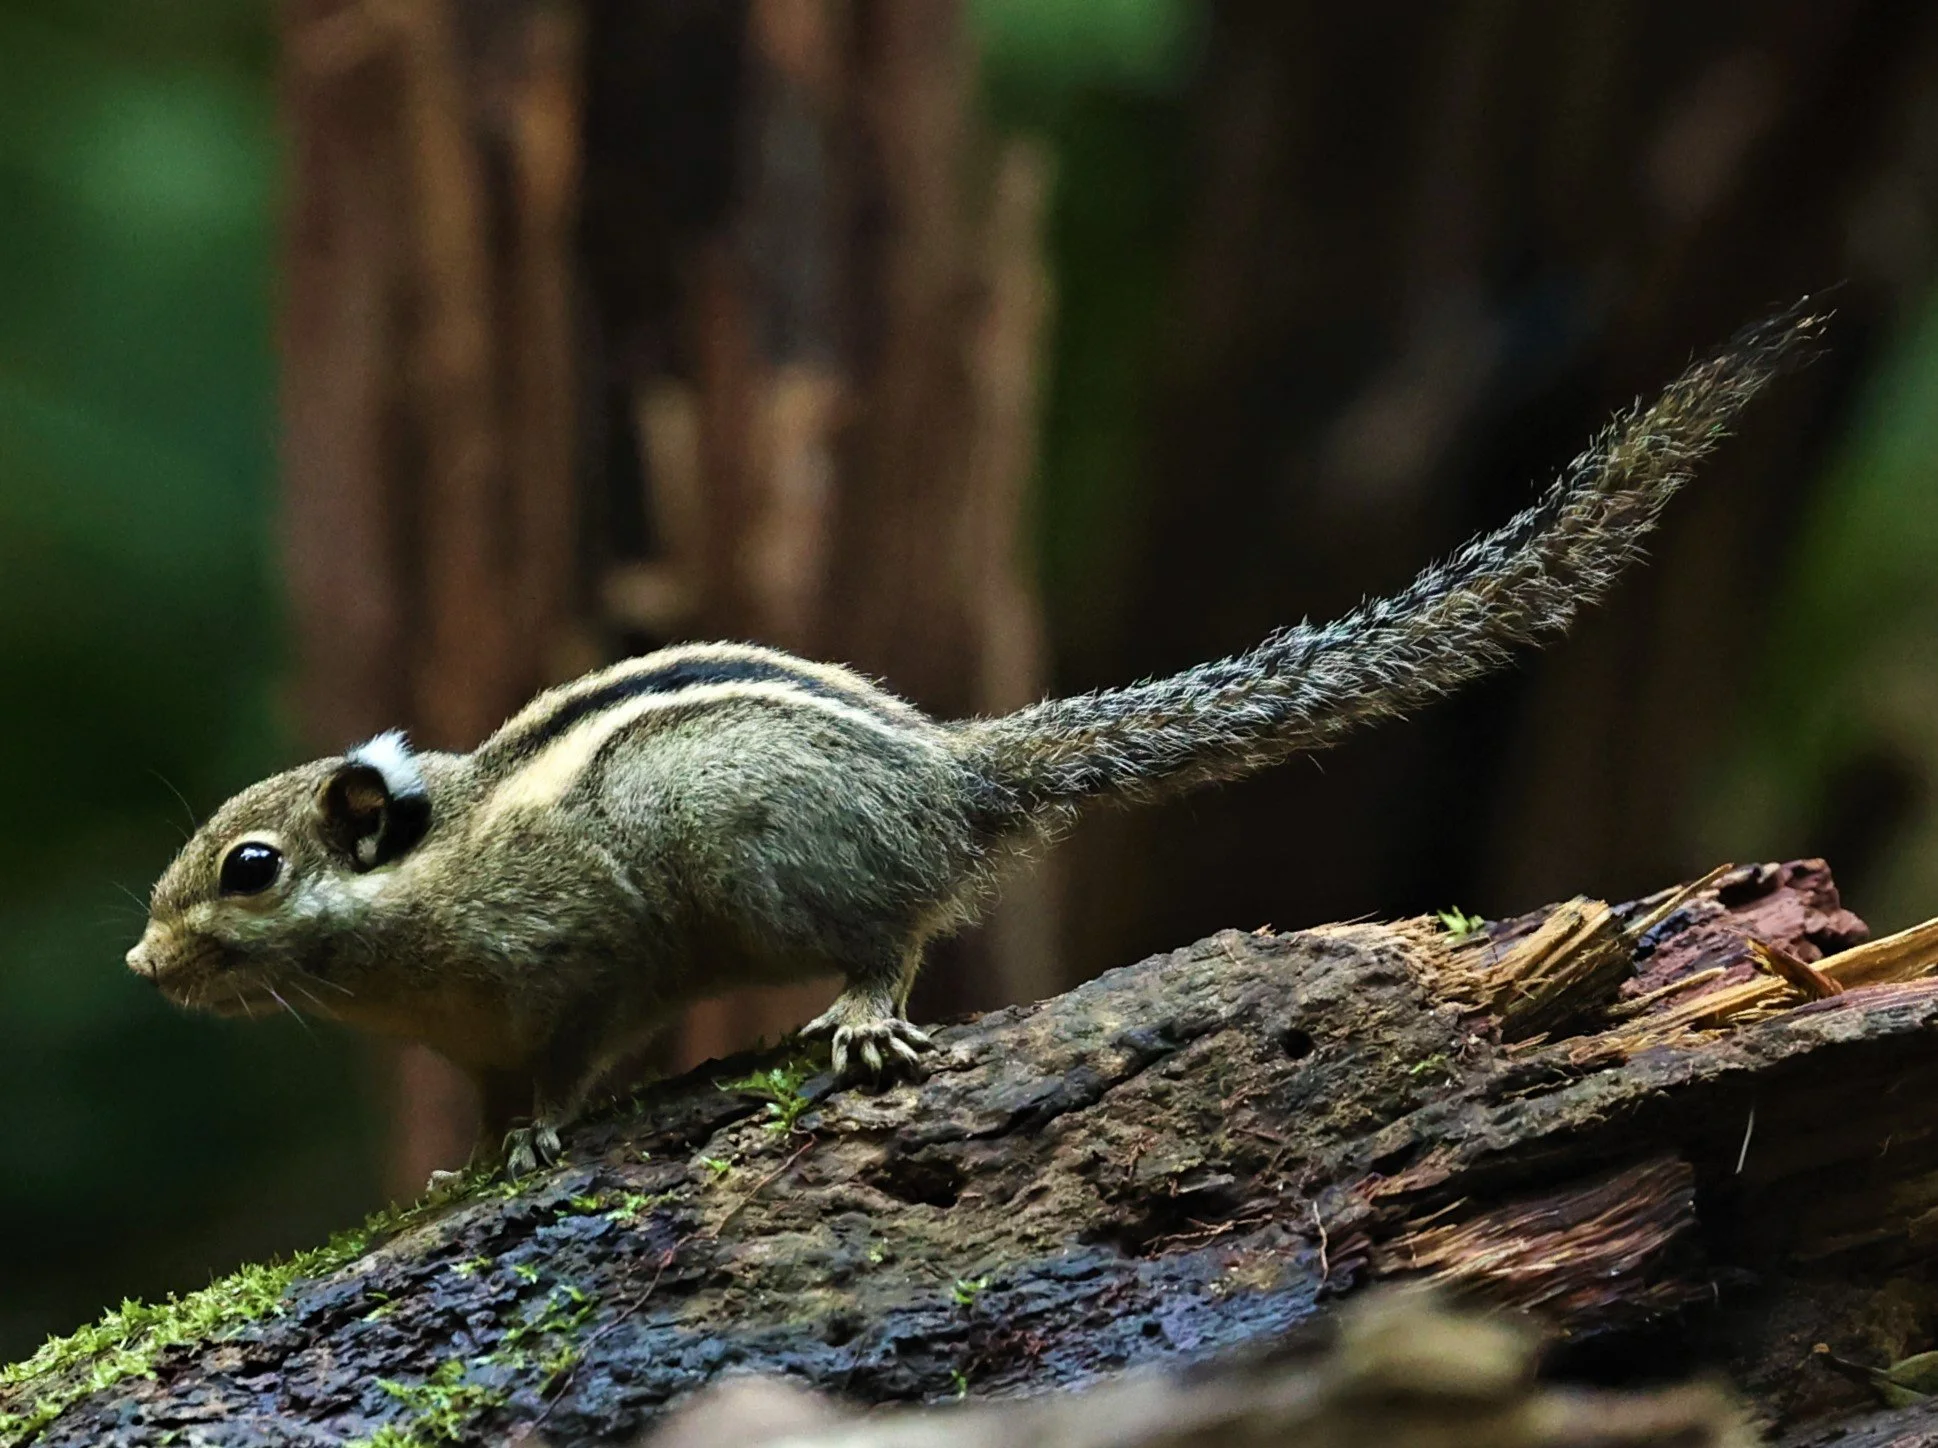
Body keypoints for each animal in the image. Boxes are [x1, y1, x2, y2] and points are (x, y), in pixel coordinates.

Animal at [126, 308, 1821, 1177]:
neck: (426, 888)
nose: (142, 964)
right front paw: (457, 1172)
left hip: (772, 860)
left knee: (890, 934)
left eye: (251, 869)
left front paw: (537, 1136)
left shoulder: (576, 956)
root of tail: (947, 774)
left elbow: (565, 1057)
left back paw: (864, 1013)